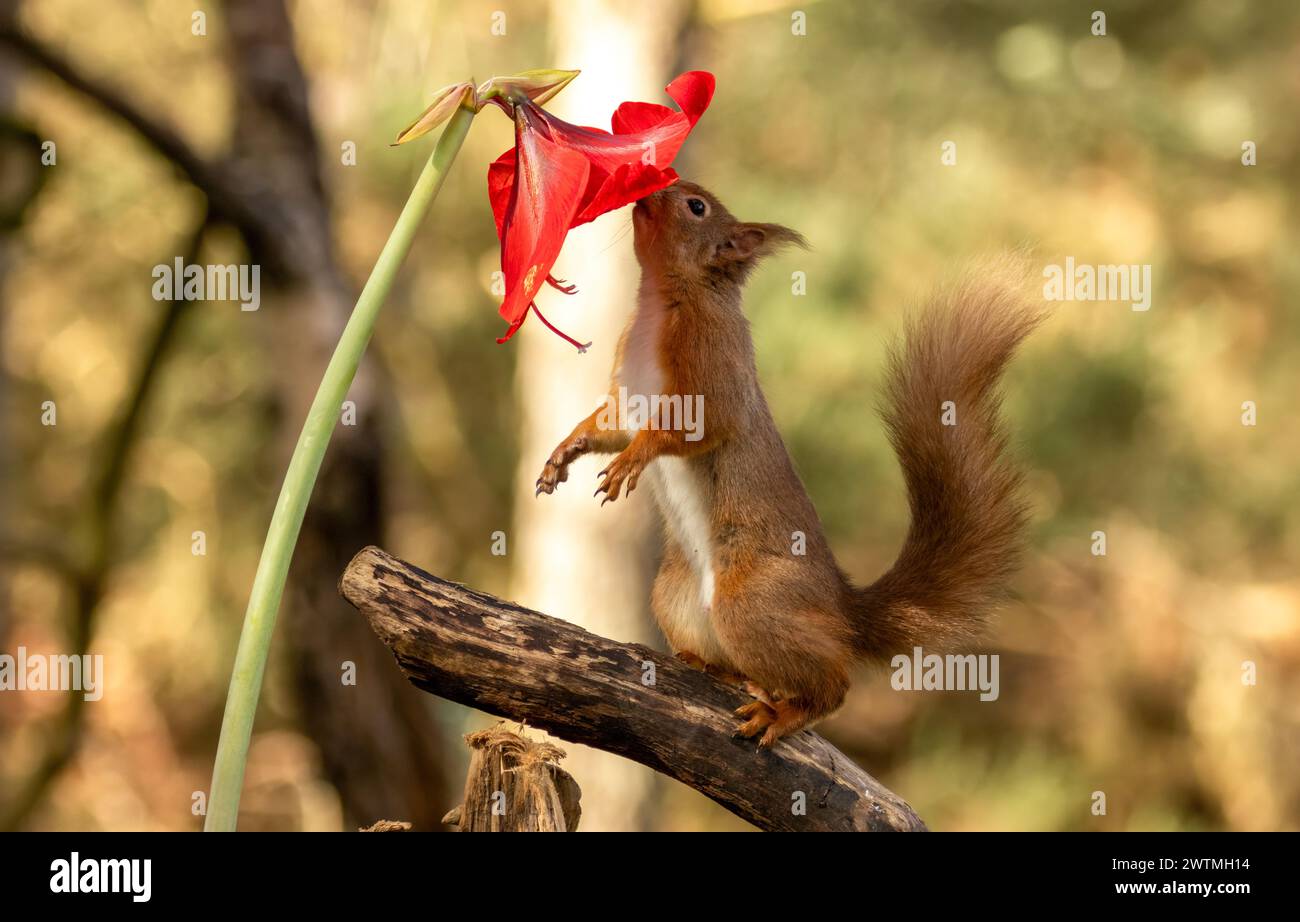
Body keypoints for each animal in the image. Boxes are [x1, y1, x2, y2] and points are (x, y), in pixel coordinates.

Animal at [535, 180, 1042, 747]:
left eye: (696, 207)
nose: (655, 184)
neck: (661, 303)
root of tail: (842, 610)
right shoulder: (626, 394)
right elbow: (607, 425)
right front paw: (564, 453)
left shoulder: (714, 369)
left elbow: (694, 426)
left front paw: (632, 460)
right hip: (674, 595)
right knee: (738, 663)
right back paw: (709, 667)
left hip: (753, 605)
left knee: (834, 684)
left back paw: (783, 714)